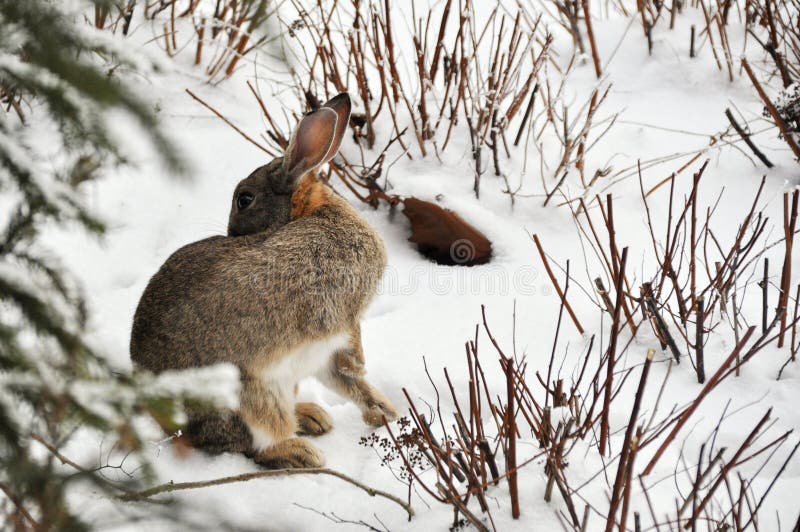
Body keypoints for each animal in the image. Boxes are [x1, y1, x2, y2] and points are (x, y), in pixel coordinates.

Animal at [130, 93, 397, 469]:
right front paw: (368, 381)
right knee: (256, 445)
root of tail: (173, 422)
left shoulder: (330, 343)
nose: (231, 234)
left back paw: (312, 416)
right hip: (253, 394)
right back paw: (302, 451)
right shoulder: (342, 318)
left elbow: (345, 377)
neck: (312, 211)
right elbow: (348, 360)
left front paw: (385, 413)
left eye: (245, 199)